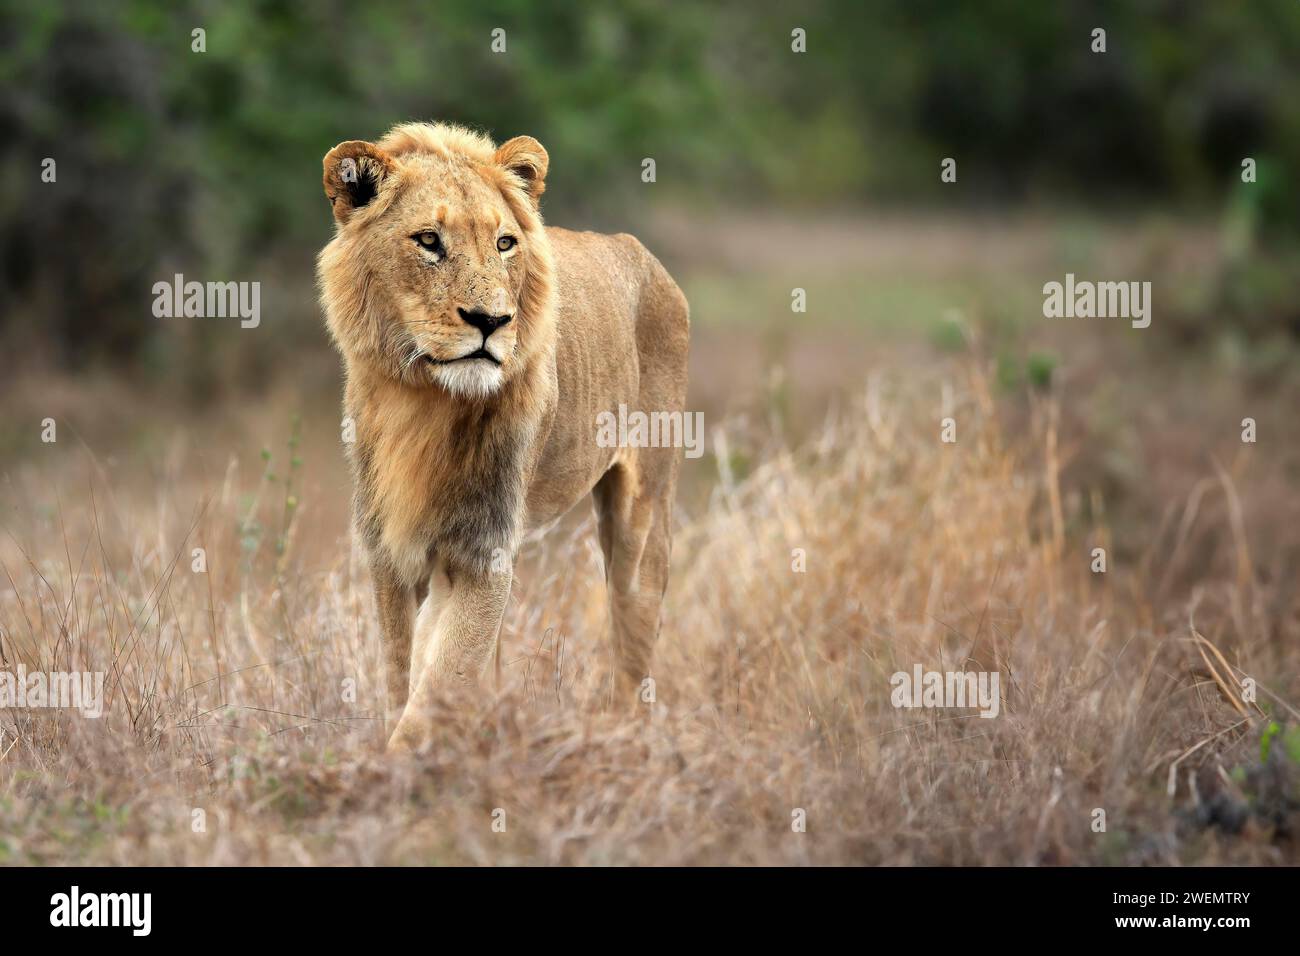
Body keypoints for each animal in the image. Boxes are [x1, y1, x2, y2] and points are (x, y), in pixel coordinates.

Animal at [317, 122, 690, 751]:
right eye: (429, 240)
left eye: (505, 244)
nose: (491, 321)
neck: (425, 403)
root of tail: (641, 253)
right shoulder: (390, 553)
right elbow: (403, 675)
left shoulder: (483, 551)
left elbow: (438, 679)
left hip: (643, 515)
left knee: (632, 642)